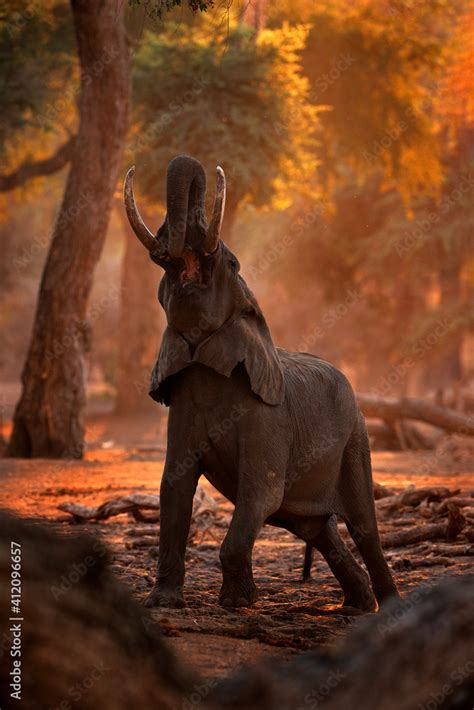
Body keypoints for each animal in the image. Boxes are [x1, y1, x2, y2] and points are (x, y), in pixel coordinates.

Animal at [123, 155, 399, 610]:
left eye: (233, 264)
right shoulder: (183, 404)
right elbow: (174, 485)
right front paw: (162, 603)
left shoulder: (269, 419)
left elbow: (260, 492)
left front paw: (238, 603)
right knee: (313, 527)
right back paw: (355, 604)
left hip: (356, 439)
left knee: (363, 528)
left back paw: (387, 607)